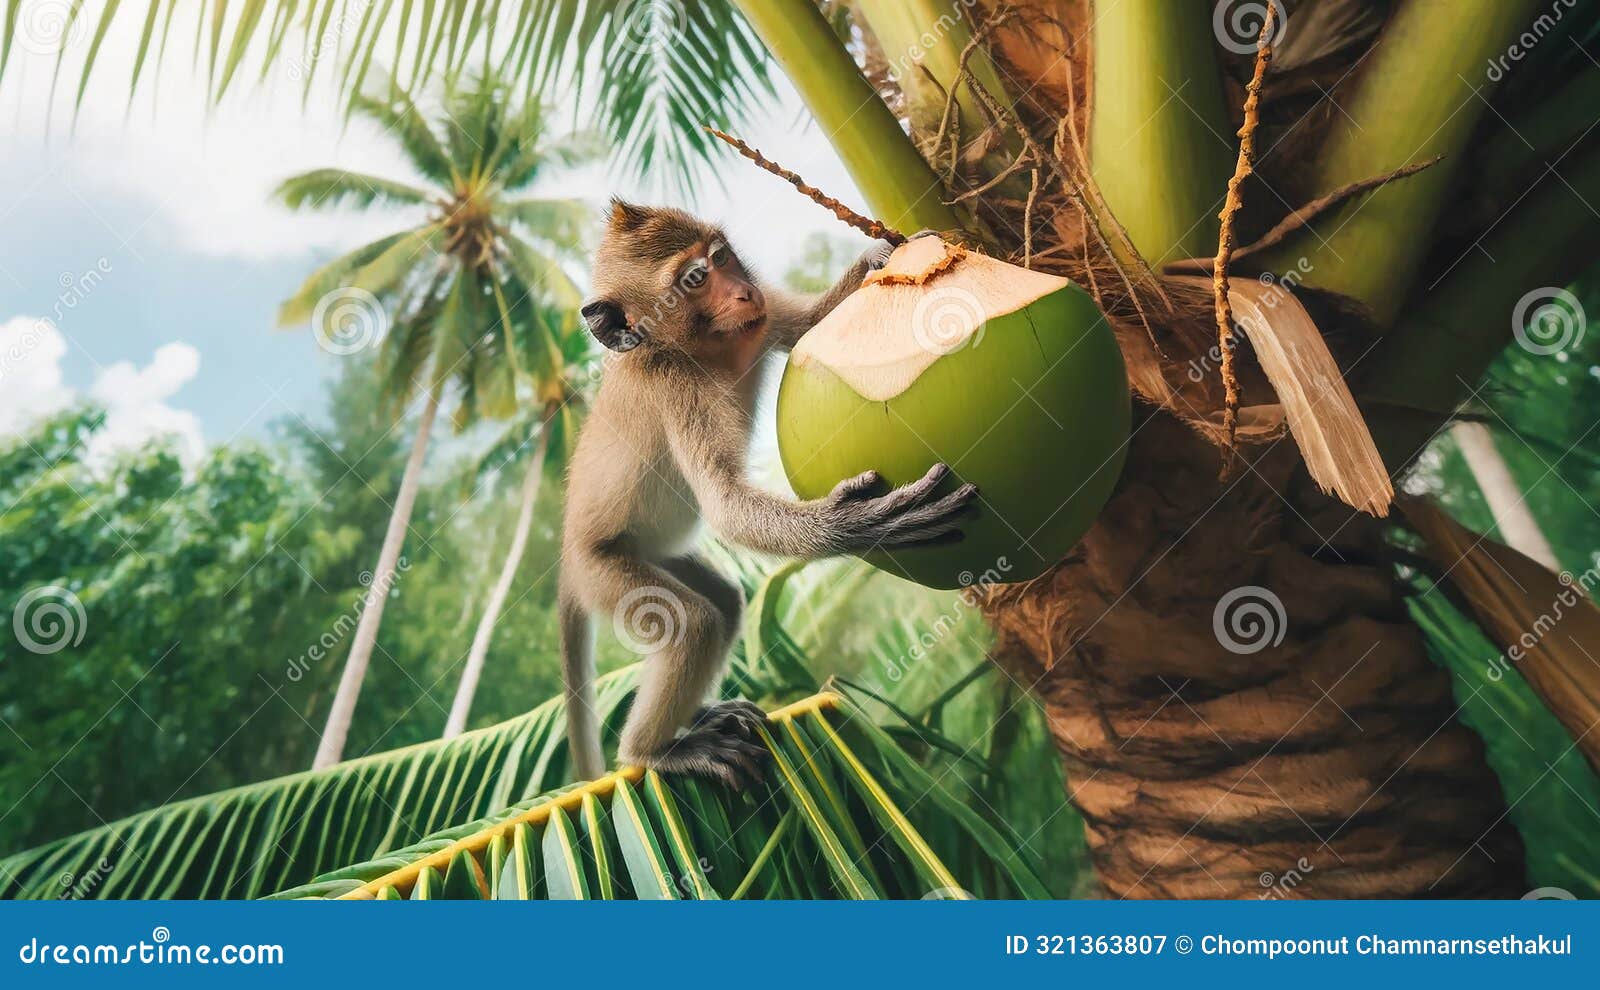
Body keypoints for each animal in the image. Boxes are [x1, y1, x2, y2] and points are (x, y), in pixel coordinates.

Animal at [557, 200, 977, 788]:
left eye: (720, 257)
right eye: (693, 280)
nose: (742, 293)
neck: (703, 348)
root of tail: (566, 557)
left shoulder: (763, 319)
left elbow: (809, 321)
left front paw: (878, 257)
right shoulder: (675, 388)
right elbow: (726, 505)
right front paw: (860, 525)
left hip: (651, 555)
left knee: (724, 601)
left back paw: (697, 716)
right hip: (603, 569)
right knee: (692, 624)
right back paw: (653, 752)